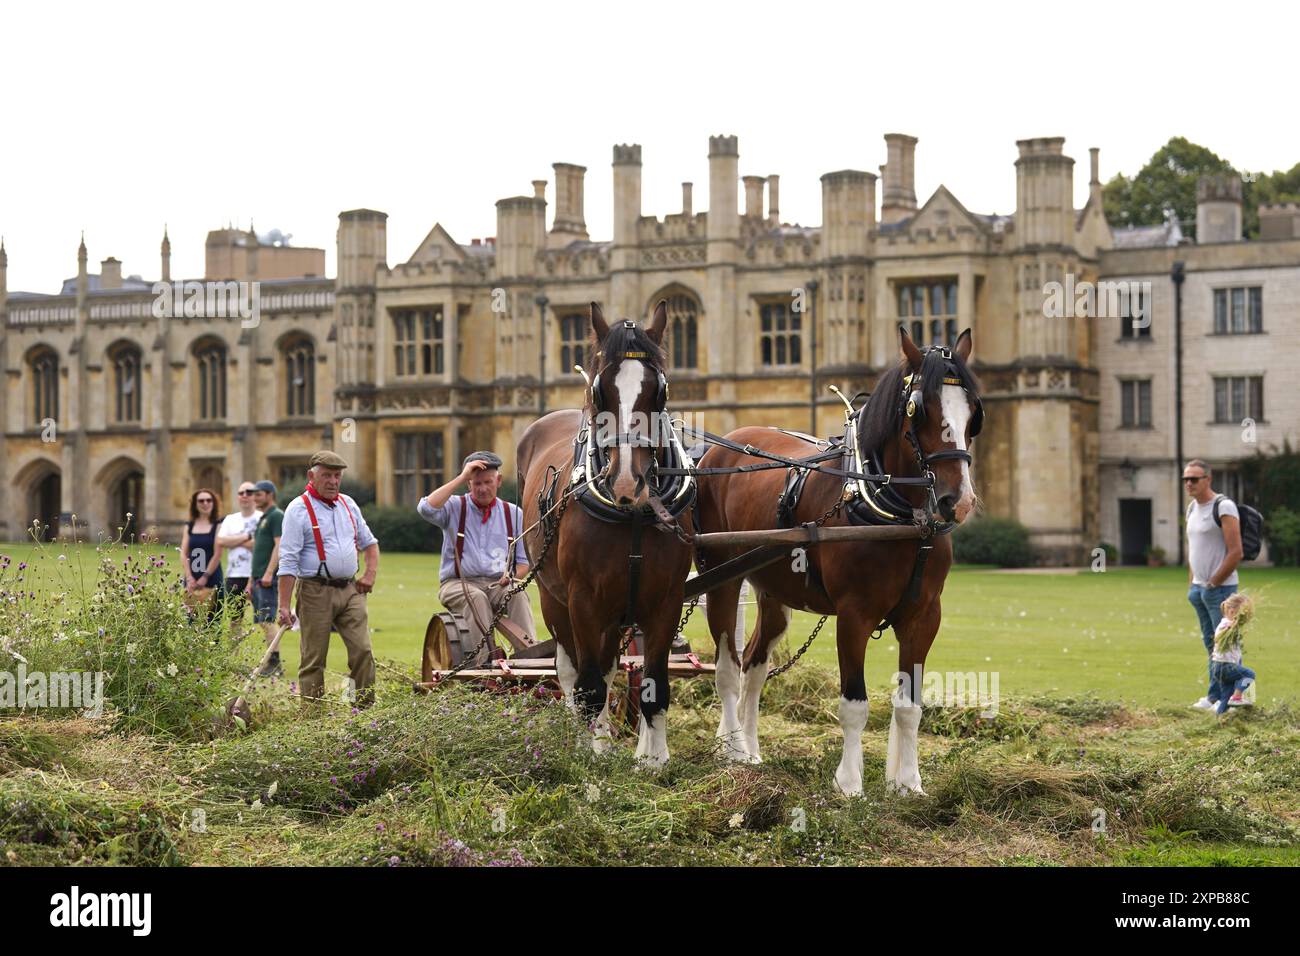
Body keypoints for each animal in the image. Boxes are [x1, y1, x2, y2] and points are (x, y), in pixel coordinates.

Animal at [517, 301, 695, 764]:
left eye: (659, 391)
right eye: (600, 391)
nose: (626, 483)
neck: (632, 516)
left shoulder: (665, 600)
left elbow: (654, 684)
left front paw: (654, 761)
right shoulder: (582, 599)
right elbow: (589, 686)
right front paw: (589, 755)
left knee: (608, 664)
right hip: (555, 600)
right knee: (573, 673)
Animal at [694, 326, 982, 795]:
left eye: (973, 412)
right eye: (919, 408)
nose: (957, 501)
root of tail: (719, 450)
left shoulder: (924, 617)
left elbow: (910, 706)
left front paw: (908, 784)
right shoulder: (854, 615)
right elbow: (854, 705)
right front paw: (849, 784)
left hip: (773, 591)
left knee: (753, 666)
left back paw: (751, 753)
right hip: (721, 579)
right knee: (726, 670)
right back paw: (732, 750)